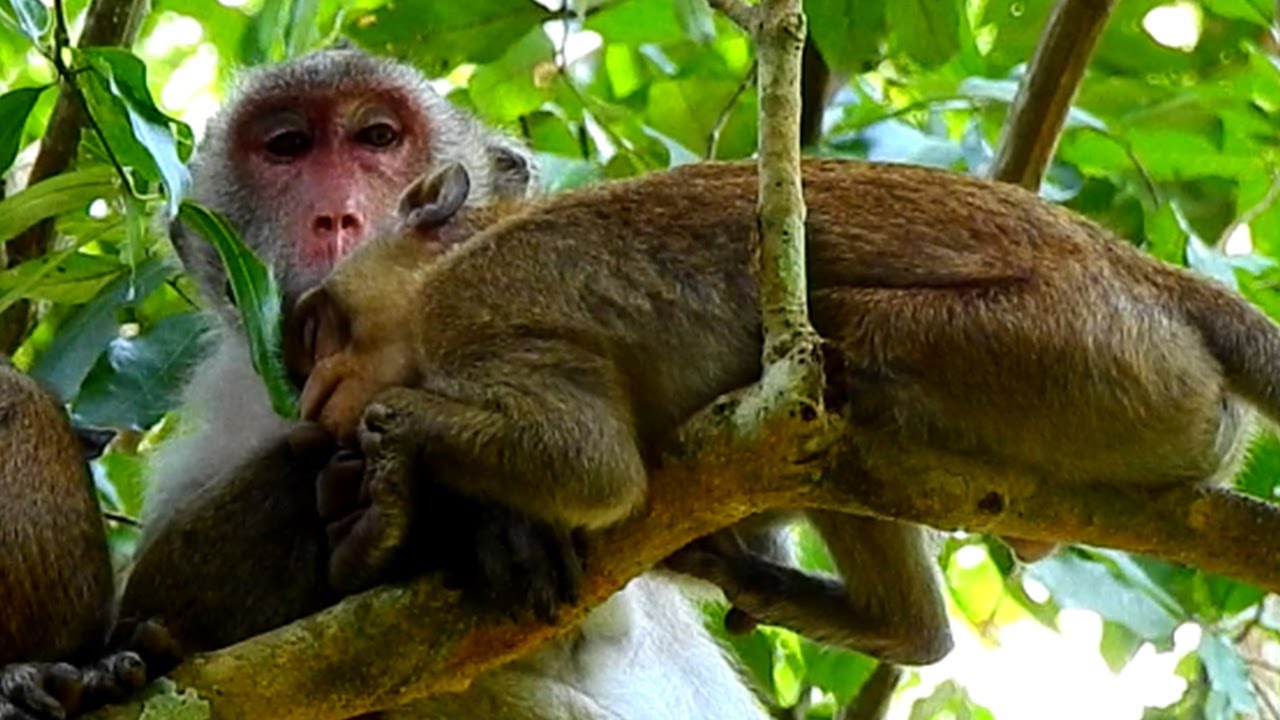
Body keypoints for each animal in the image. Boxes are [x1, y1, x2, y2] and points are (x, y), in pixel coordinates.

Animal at [286, 155, 1280, 668]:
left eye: (316, 329)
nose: (308, 393)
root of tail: (1150, 277)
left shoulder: (484, 306)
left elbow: (594, 467)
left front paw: (397, 445)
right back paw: (899, 627)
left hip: (1082, 348)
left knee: (841, 337)